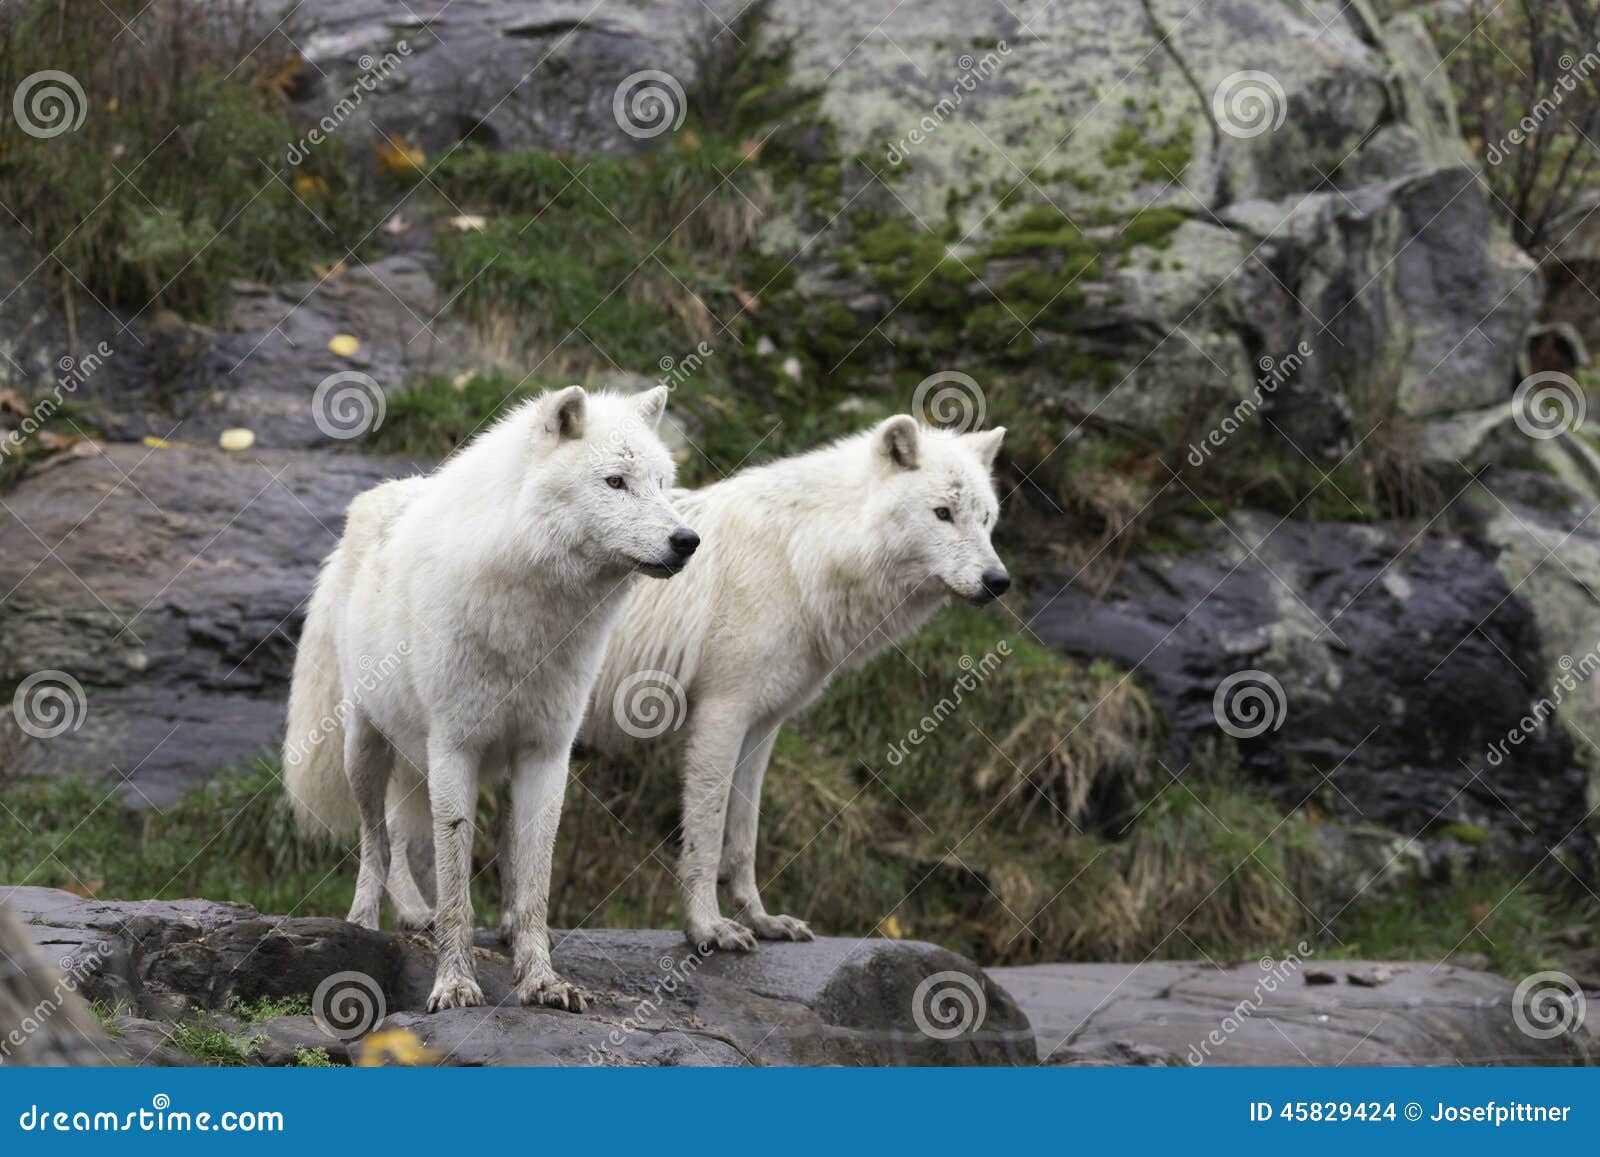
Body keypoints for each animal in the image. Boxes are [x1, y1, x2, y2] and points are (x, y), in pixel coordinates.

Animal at [283, 385, 696, 1011]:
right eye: (615, 482)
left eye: (663, 483)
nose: (687, 541)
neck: (535, 617)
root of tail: (373, 499)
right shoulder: (455, 749)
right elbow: (455, 883)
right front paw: (455, 983)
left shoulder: (546, 753)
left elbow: (534, 880)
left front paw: (541, 979)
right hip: (366, 748)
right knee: (376, 841)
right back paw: (366, 920)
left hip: (467, 766)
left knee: (460, 845)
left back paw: (451, 921)